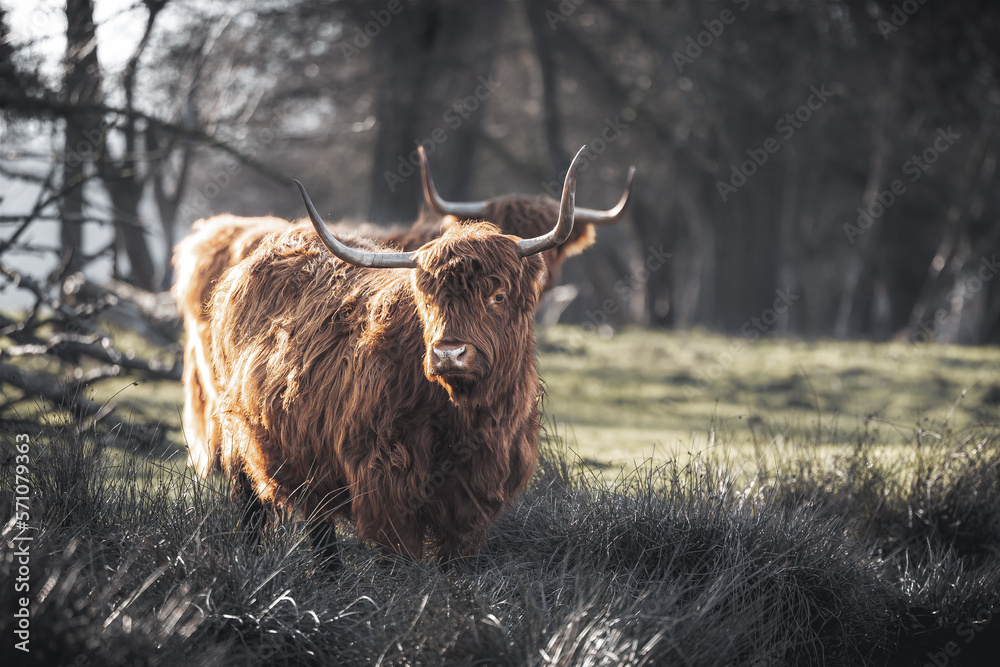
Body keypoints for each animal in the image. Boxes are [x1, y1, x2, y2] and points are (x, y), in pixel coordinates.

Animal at [210, 146, 589, 561]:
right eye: (427, 299)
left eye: (498, 296)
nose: (449, 354)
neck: (462, 416)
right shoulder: (386, 484)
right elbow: (405, 560)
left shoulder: (475, 497)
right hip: (241, 434)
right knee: (252, 507)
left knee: (318, 519)